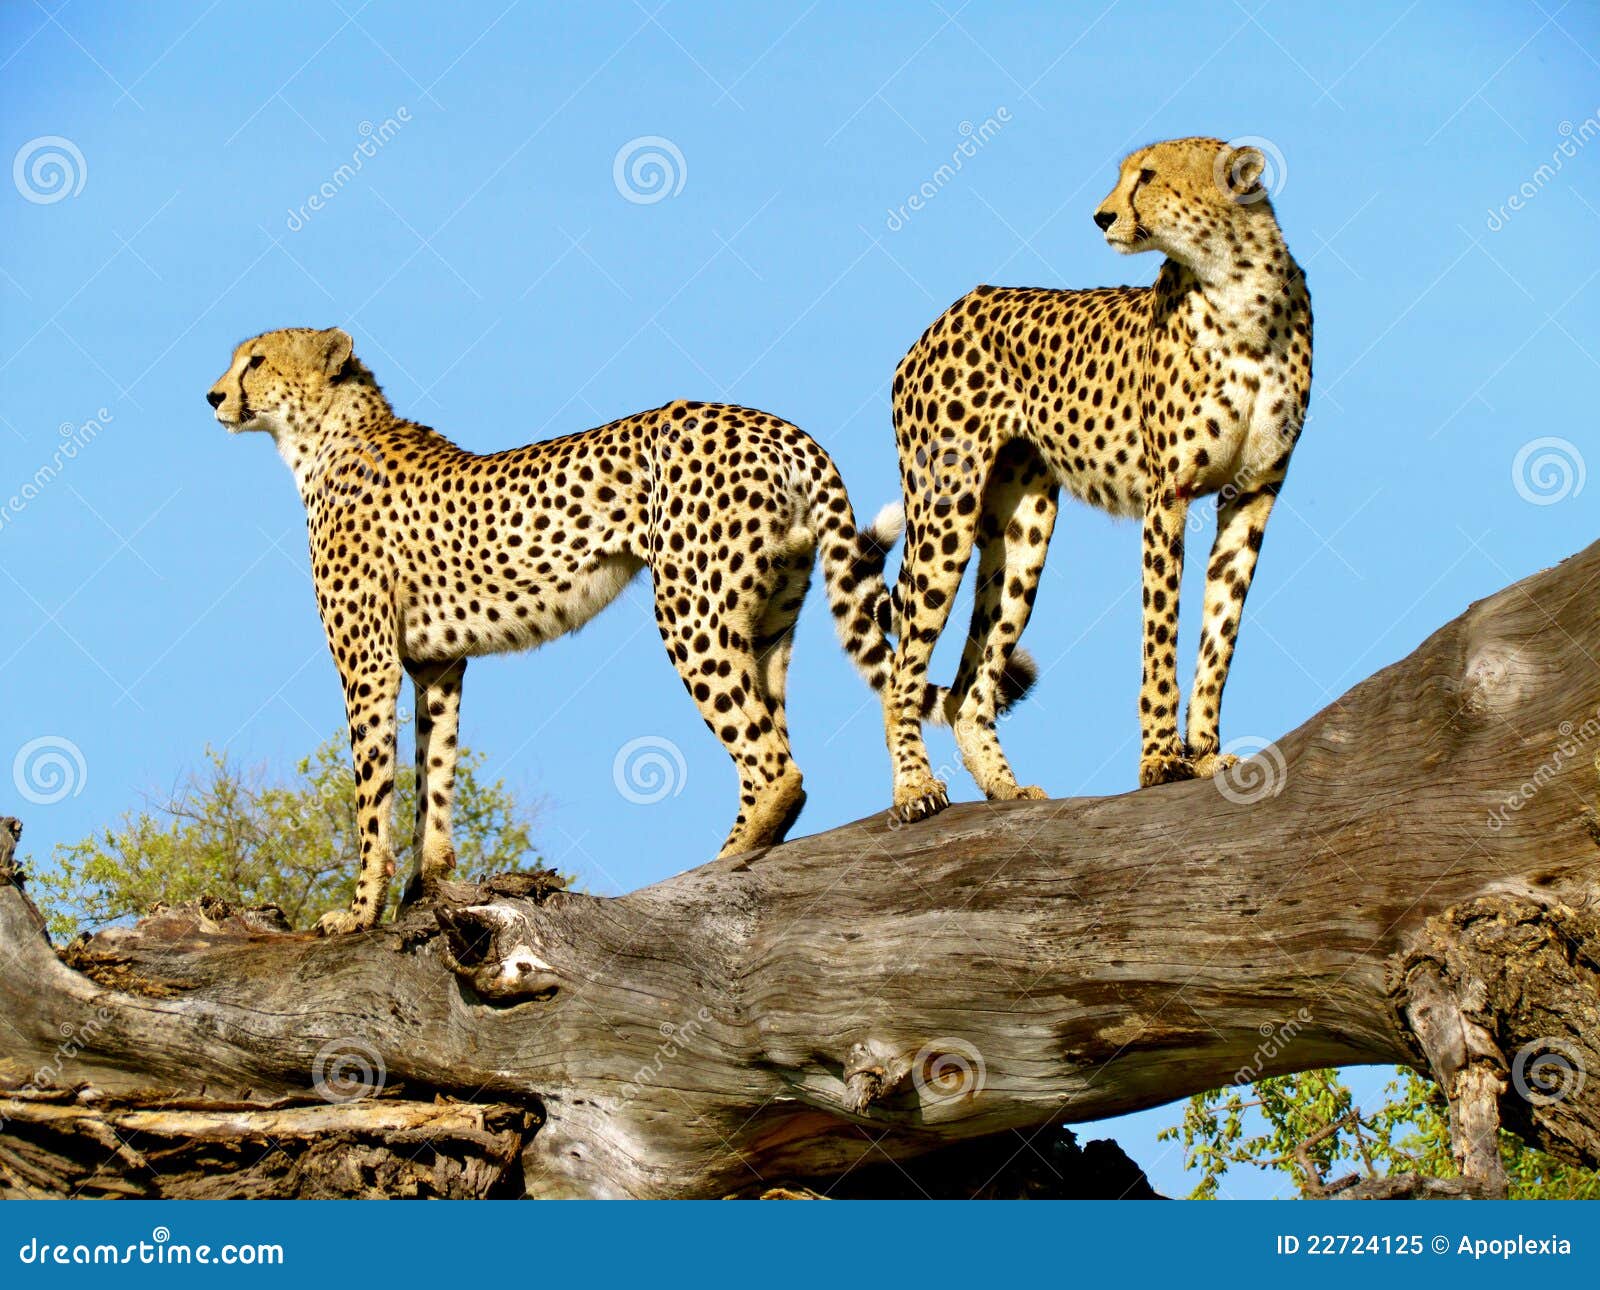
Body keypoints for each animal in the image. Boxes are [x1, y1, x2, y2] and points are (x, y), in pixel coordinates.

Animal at [207, 327, 1032, 932]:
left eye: (256, 359)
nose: (213, 394)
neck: (324, 436)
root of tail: (780, 425)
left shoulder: (369, 665)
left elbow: (371, 797)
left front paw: (355, 915)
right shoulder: (436, 667)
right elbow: (430, 781)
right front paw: (425, 889)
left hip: (690, 606)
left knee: (776, 765)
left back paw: (717, 865)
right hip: (767, 614)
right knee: (789, 730)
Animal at [880, 136, 1312, 823]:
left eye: (1149, 176)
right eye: (1126, 174)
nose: (1101, 217)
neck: (1237, 284)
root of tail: (952, 309)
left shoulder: (1253, 495)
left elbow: (1220, 634)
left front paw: (1207, 752)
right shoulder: (1169, 496)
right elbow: (1161, 633)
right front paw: (1162, 759)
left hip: (1023, 533)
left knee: (968, 688)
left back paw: (1005, 788)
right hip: (946, 511)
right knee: (903, 672)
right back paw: (915, 789)